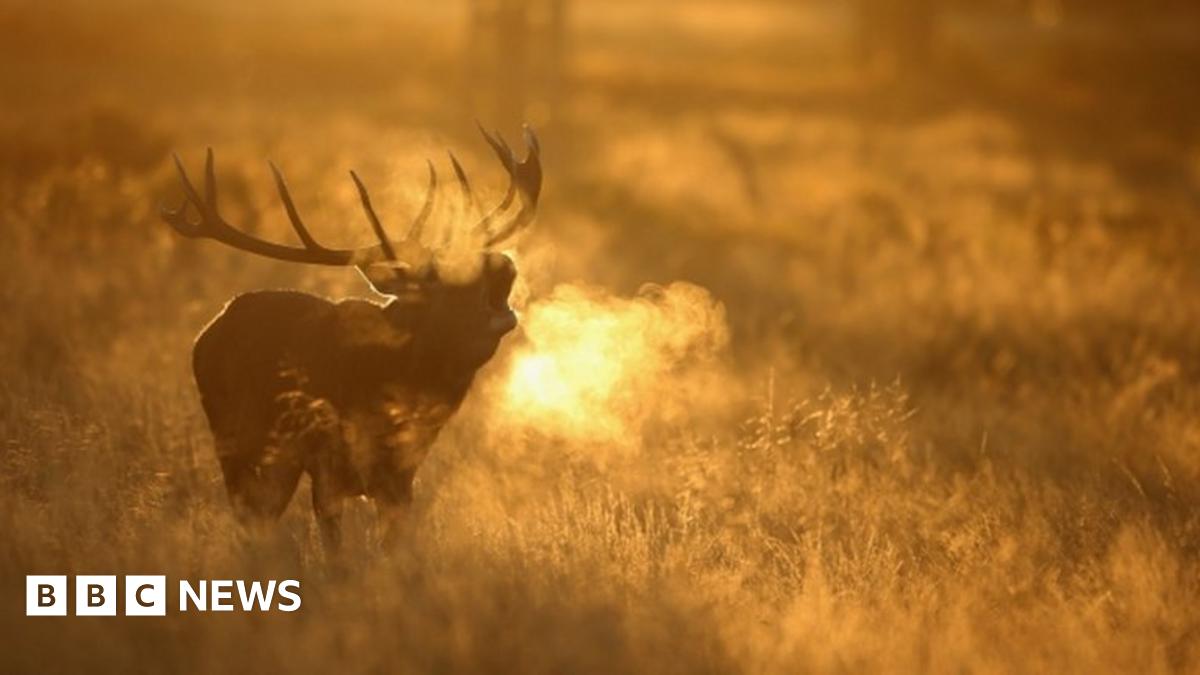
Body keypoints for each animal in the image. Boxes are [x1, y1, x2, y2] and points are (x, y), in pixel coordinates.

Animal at [161, 126, 541, 553]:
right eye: (436, 280)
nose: (503, 263)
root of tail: (210, 329)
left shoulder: (402, 474)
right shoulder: (326, 460)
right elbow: (335, 551)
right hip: (233, 436)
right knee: (249, 515)